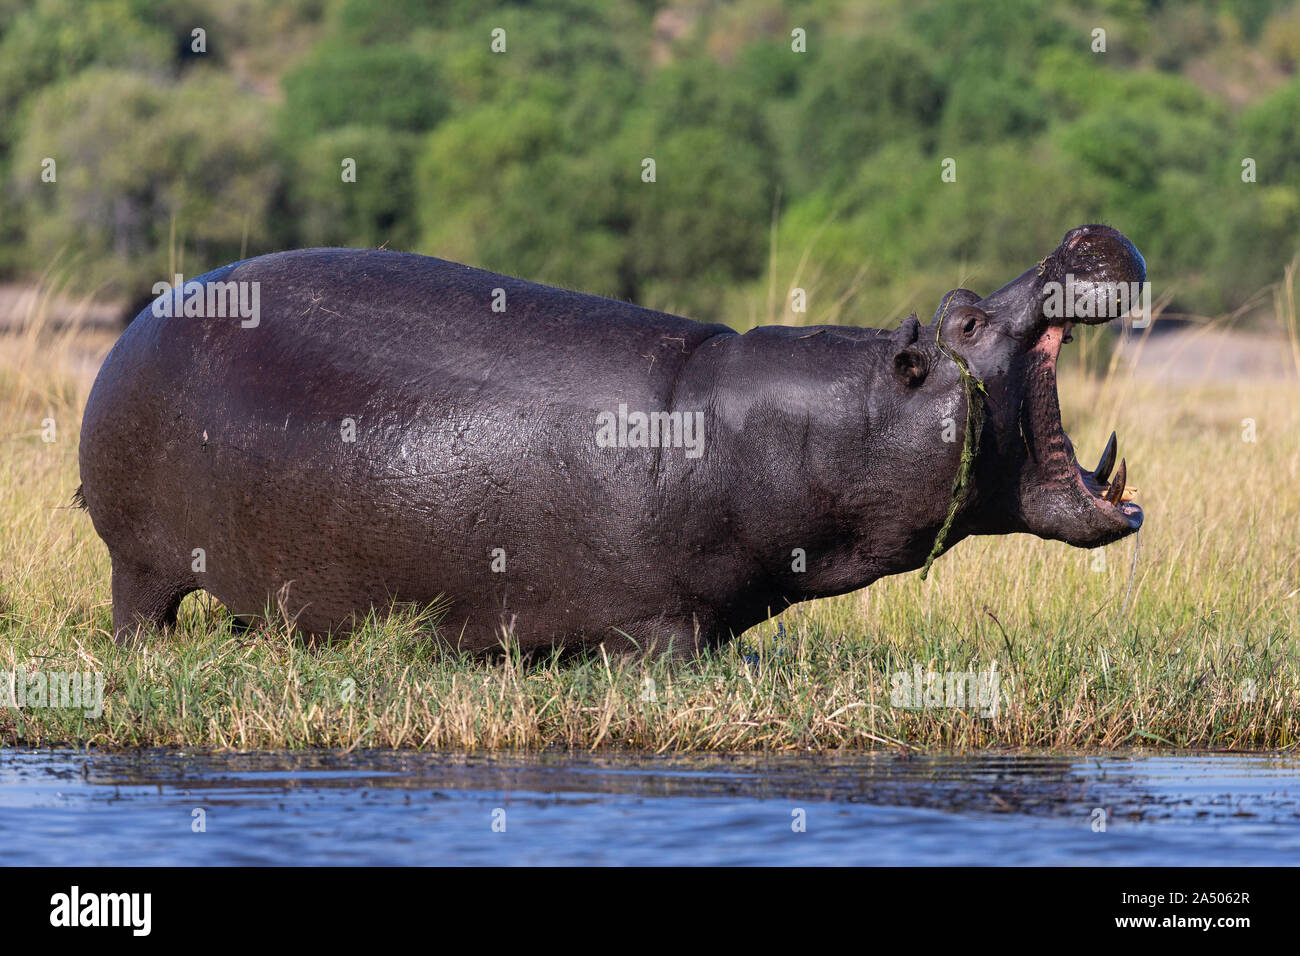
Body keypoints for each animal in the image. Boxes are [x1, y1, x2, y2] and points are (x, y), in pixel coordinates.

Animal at [77, 224, 1146, 656]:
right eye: (967, 320)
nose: (1080, 236)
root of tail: (142, 318)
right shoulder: (665, 626)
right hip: (141, 561)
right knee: (140, 616)